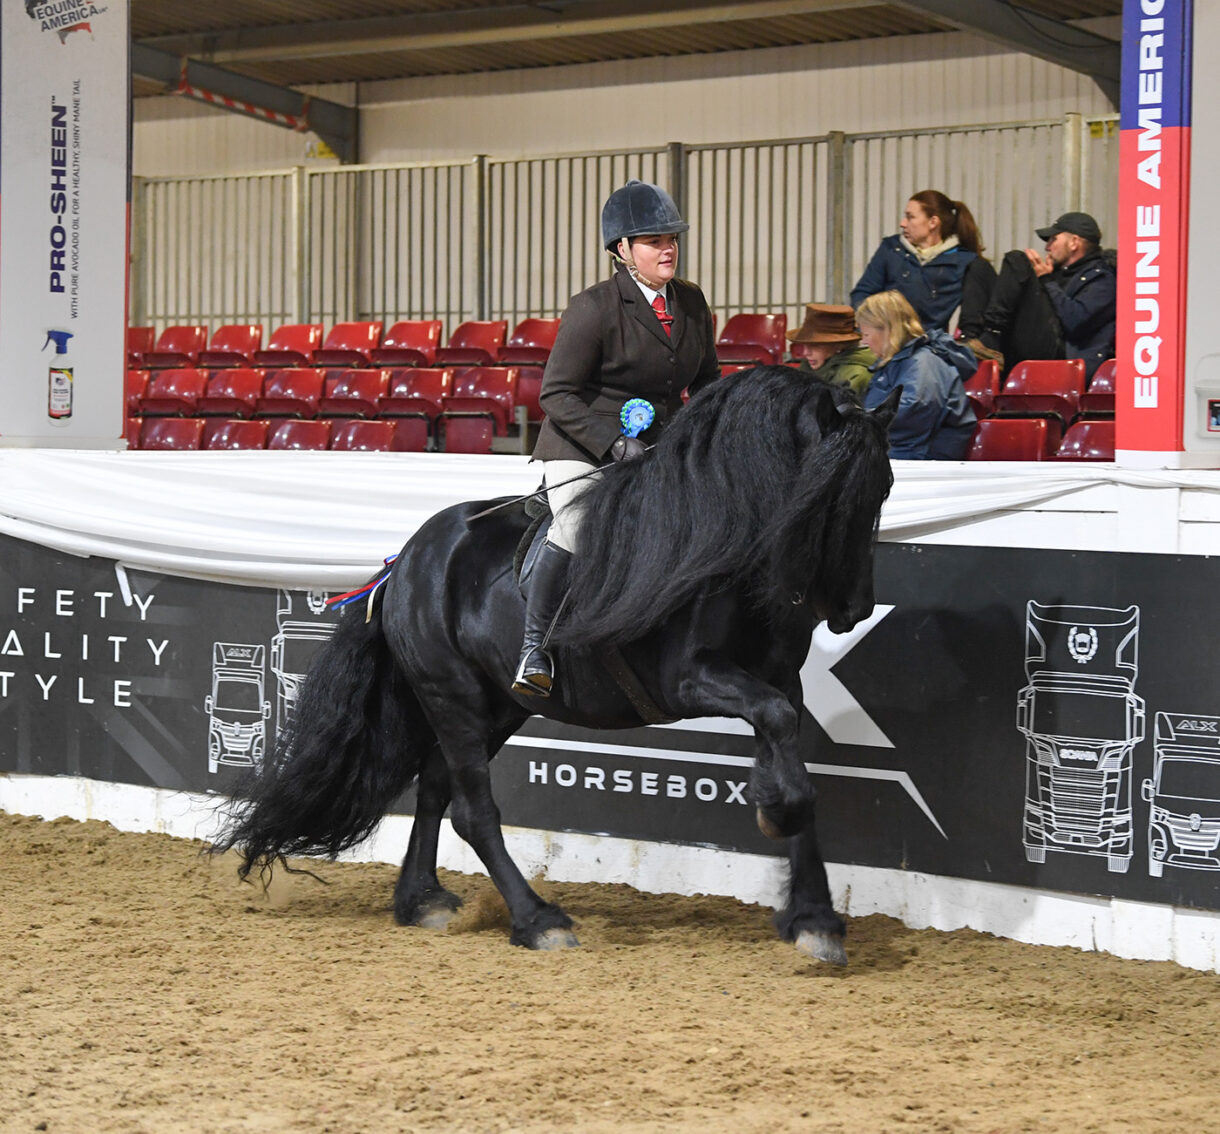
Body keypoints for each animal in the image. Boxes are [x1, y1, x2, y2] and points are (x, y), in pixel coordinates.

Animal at [213, 366, 899, 965]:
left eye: (885, 488)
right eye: (827, 491)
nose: (851, 609)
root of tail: (403, 560)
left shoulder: (777, 679)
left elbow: (790, 751)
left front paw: (813, 916)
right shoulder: (690, 678)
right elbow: (780, 739)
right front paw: (777, 817)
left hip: (496, 708)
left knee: (436, 789)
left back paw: (421, 902)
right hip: (453, 698)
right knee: (472, 811)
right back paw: (537, 919)